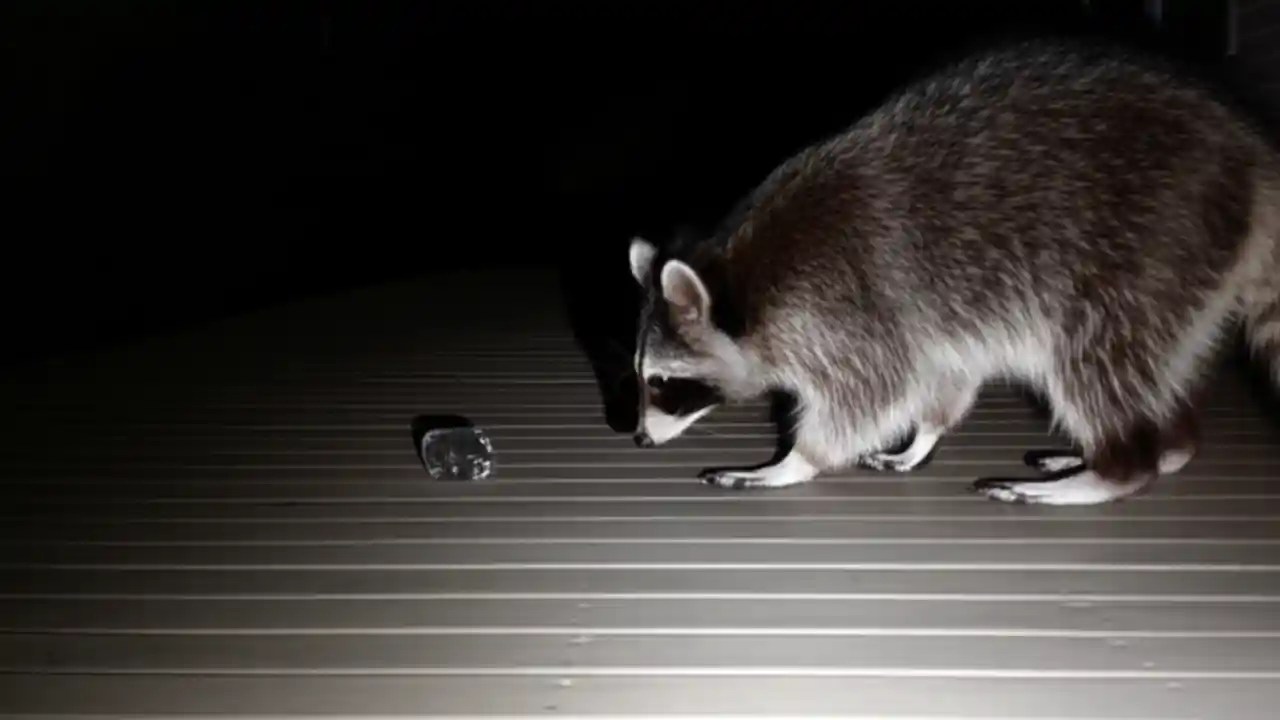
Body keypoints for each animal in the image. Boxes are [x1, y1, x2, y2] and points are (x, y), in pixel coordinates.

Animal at [627, 39, 1280, 506]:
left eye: (661, 381)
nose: (635, 438)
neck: (743, 283)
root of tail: (1251, 152)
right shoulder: (929, 322)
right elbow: (942, 377)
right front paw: (924, 437)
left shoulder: (848, 302)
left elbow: (871, 391)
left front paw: (795, 461)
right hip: (1186, 277)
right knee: (1160, 374)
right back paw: (1160, 444)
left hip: (1145, 249)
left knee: (1094, 357)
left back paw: (1115, 467)